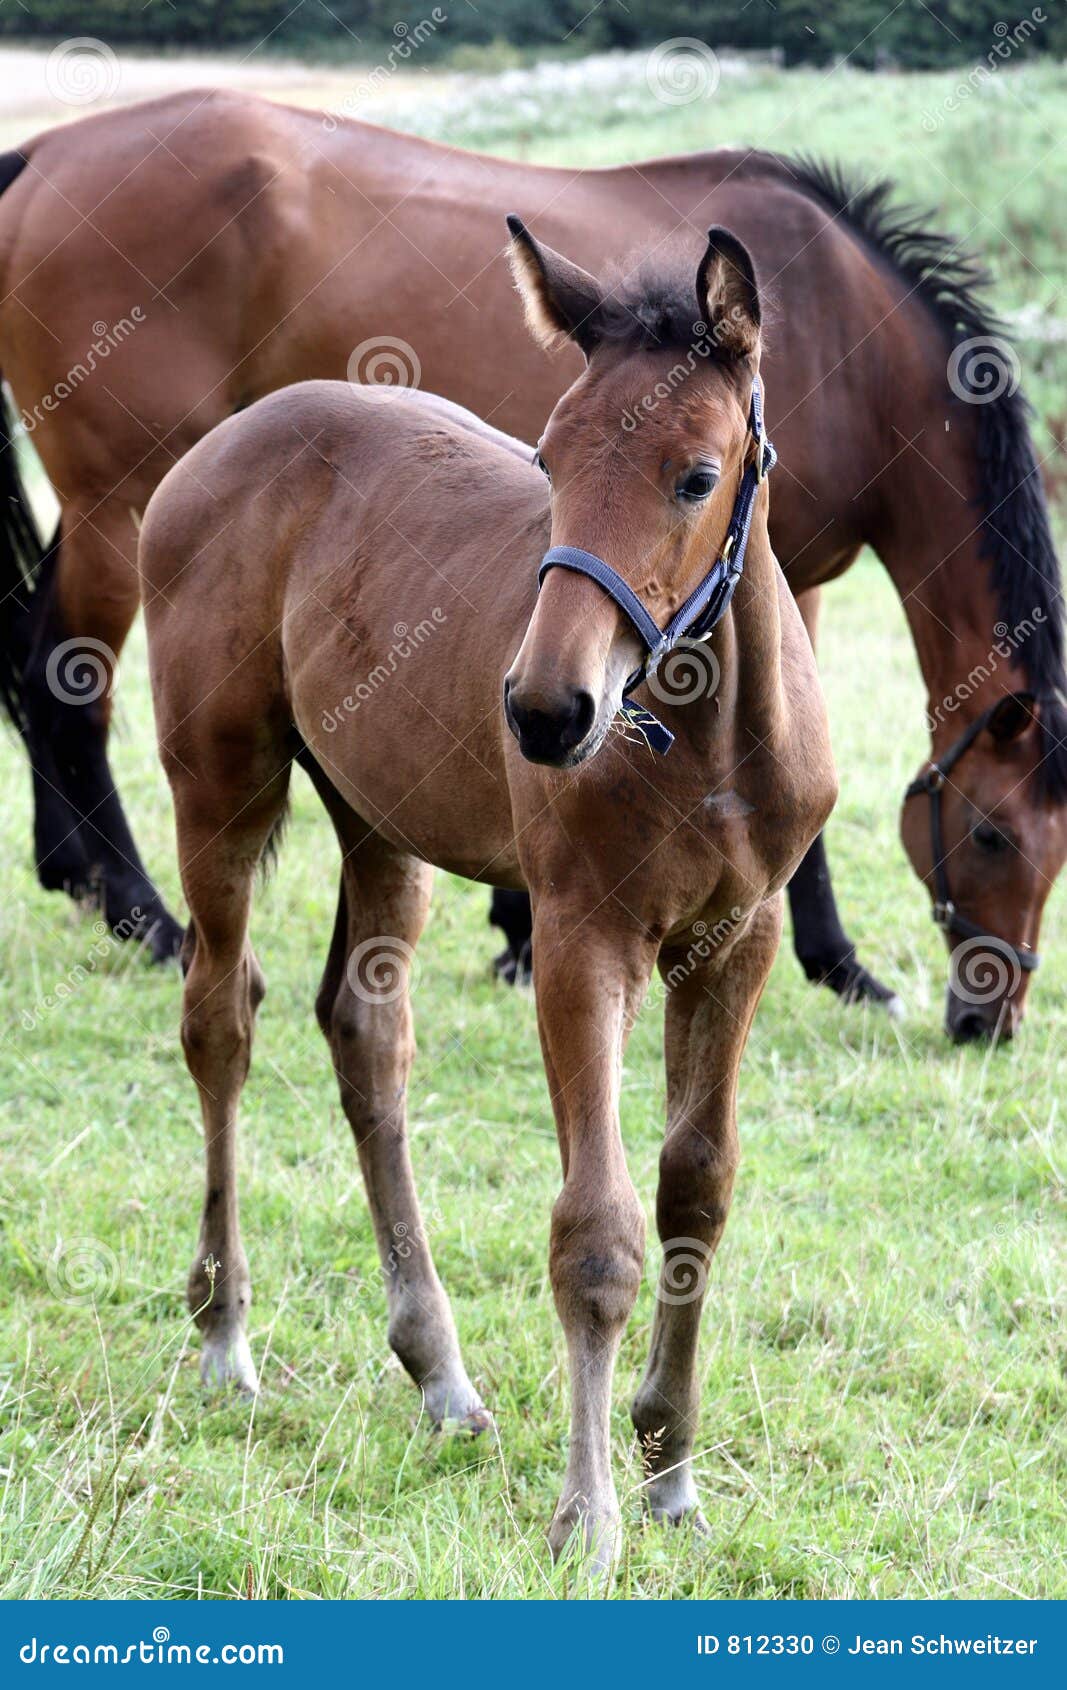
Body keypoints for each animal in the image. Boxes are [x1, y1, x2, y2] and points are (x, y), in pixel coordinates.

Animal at [1, 93, 1064, 1038]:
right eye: (990, 834)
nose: (991, 1017)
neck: (844, 333)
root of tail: (43, 153)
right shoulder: (785, 576)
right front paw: (840, 963)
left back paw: (74, 874)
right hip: (116, 508)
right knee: (67, 679)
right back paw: (138, 909)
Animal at [137, 219, 835, 1569]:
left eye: (695, 475)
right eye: (550, 456)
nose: (546, 710)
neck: (703, 734)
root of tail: (223, 441)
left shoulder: (739, 937)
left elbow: (696, 1186)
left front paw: (670, 1472)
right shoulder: (578, 938)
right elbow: (596, 1232)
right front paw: (589, 1516)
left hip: (379, 822)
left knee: (366, 1037)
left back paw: (439, 1372)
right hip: (221, 786)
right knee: (219, 1022)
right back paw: (225, 1333)